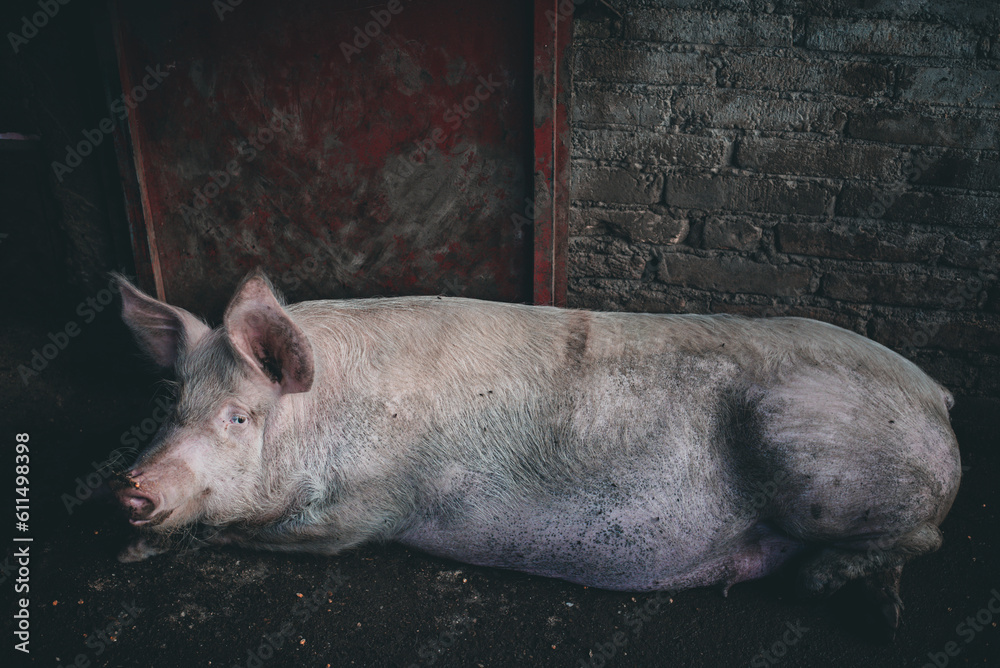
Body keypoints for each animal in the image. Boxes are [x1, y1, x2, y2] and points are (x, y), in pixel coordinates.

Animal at [112, 270, 960, 629]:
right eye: (173, 402)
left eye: (238, 417)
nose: (132, 487)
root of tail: (937, 395)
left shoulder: (373, 510)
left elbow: (268, 532)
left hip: (821, 457)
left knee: (923, 536)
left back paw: (835, 592)